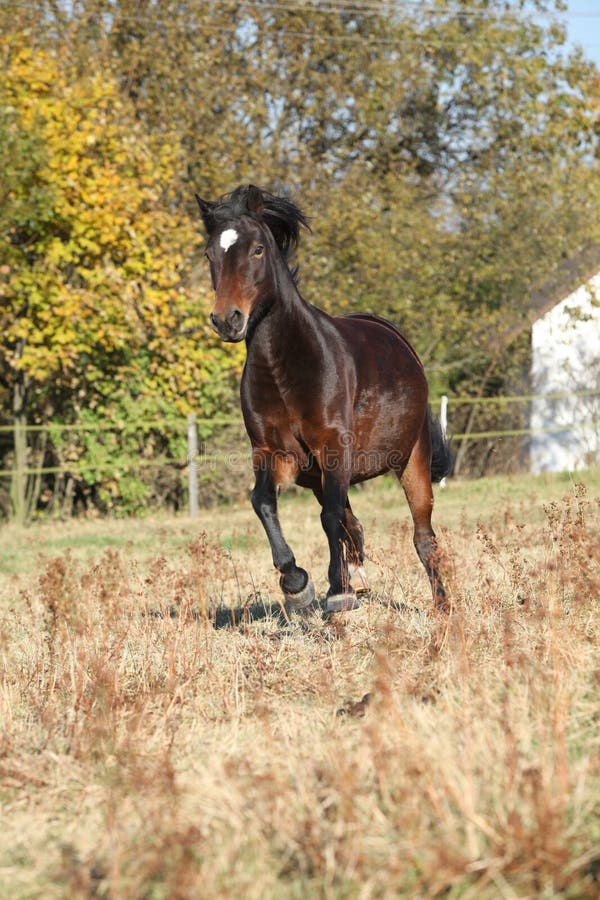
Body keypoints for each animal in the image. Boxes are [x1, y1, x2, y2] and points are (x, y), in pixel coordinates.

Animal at [195, 184, 452, 614]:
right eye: (210, 254)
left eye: (257, 250)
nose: (227, 320)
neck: (286, 368)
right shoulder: (271, 451)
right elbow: (263, 502)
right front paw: (297, 583)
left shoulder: (334, 448)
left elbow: (330, 517)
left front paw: (336, 591)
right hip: (322, 474)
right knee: (353, 523)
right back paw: (359, 580)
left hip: (411, 459)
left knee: (422, 537)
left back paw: (442, 606)